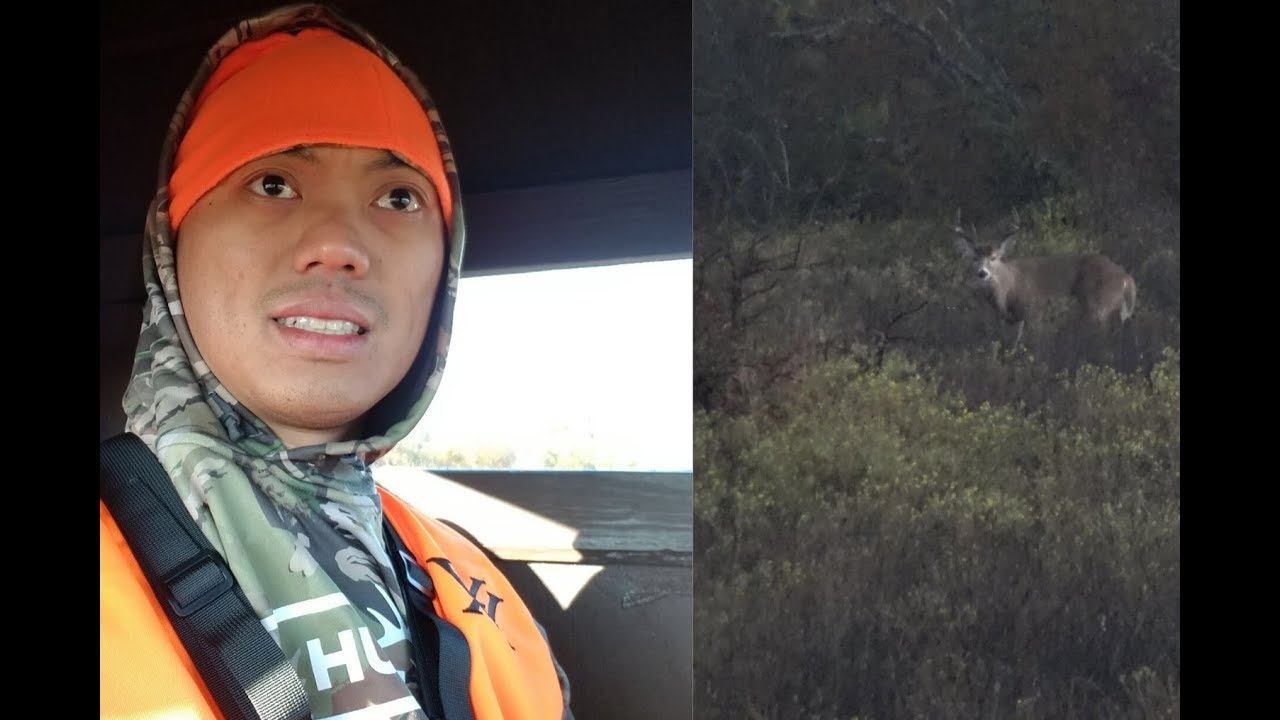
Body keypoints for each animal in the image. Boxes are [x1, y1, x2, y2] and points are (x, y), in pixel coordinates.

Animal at [952, 209, 1137, 350]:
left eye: (994, 258)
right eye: (974, 258)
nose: (982, 273)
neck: (1008, 289)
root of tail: (1127, 280)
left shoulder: (1035, 312)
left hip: (1098, 307)